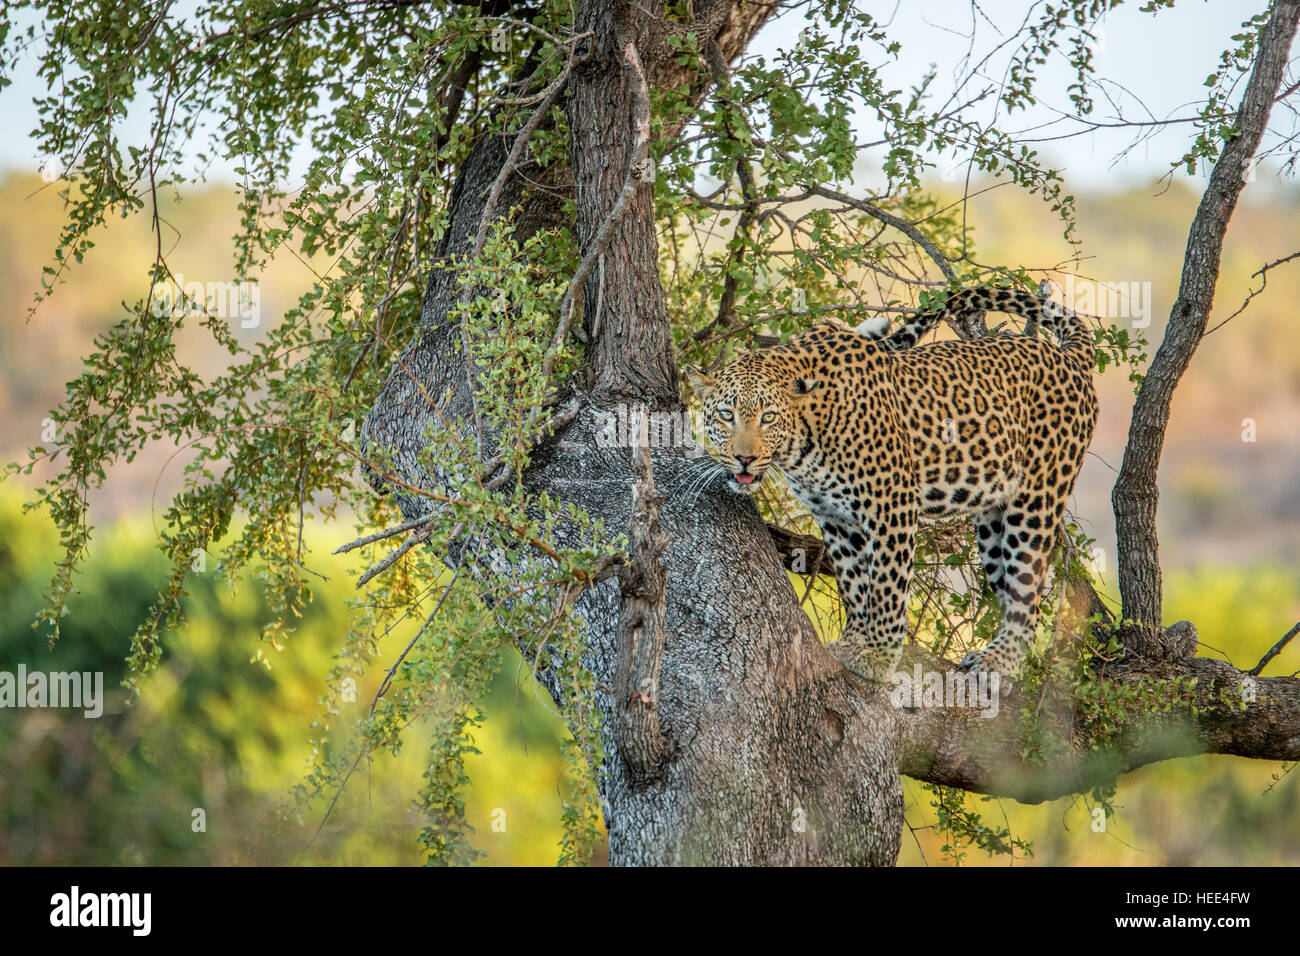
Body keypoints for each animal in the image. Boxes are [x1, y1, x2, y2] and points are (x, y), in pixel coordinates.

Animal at [685, 287, 1097, 686]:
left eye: (768, 417)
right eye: (726, 415)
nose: (745, 459)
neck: (804, 436)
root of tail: (1067, 355)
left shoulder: (892, 503)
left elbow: (886, 583)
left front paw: (878, 656)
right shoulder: (835, 516)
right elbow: (854, 581)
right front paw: (855, 639)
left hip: (1035, 501)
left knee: (1028, 595)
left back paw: (998, 661)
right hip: (992, 518)